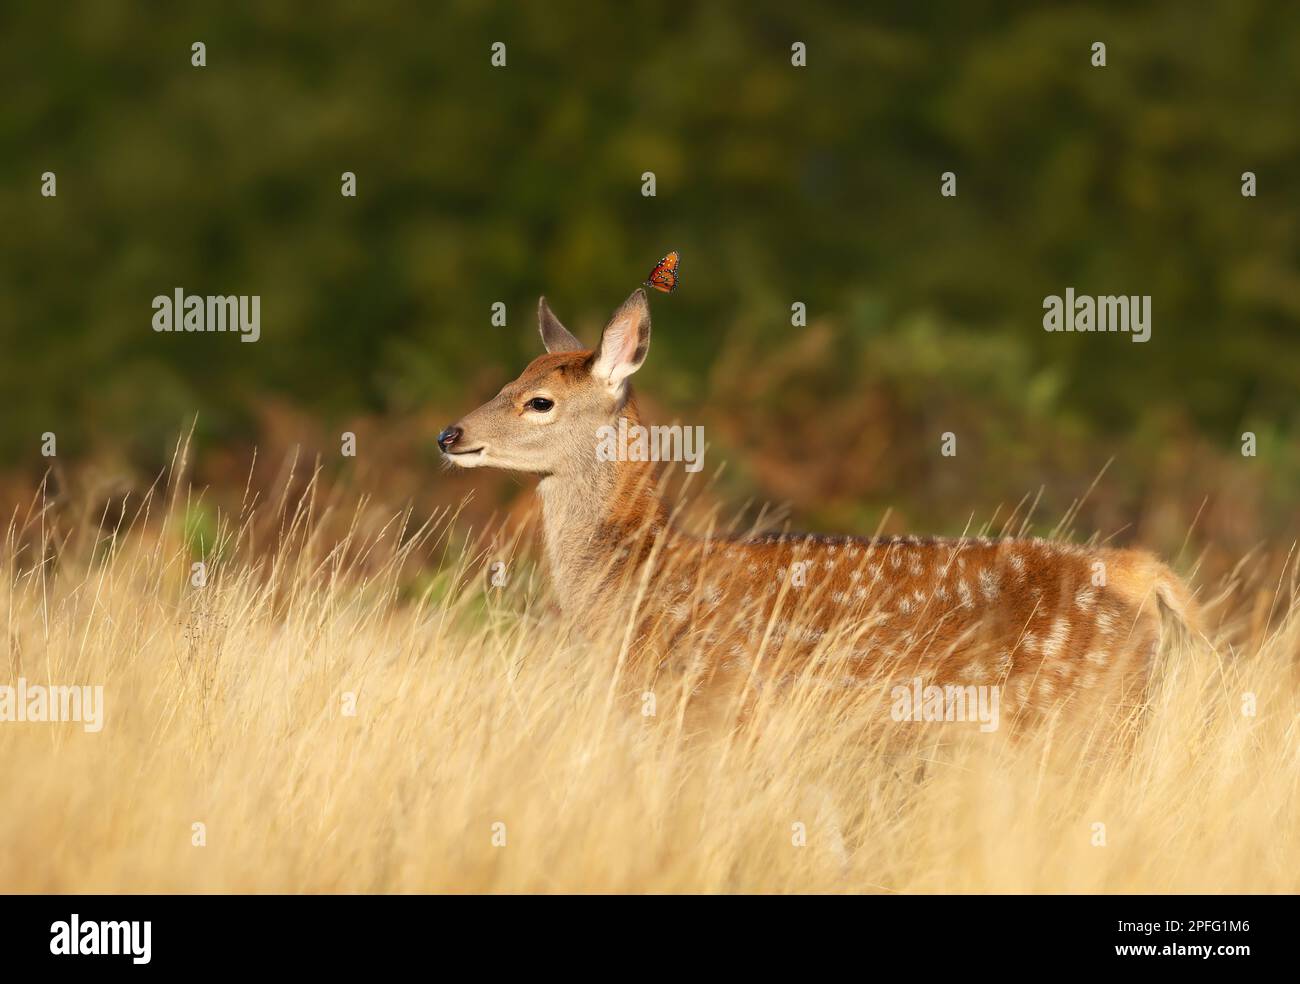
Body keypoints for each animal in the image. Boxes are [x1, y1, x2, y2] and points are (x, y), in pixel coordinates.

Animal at [438, 288, 1200, 728]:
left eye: (540, 402)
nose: (451, 434)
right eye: (510, 380)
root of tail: (1140, 575)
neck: (639, 582)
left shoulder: (711, 709)